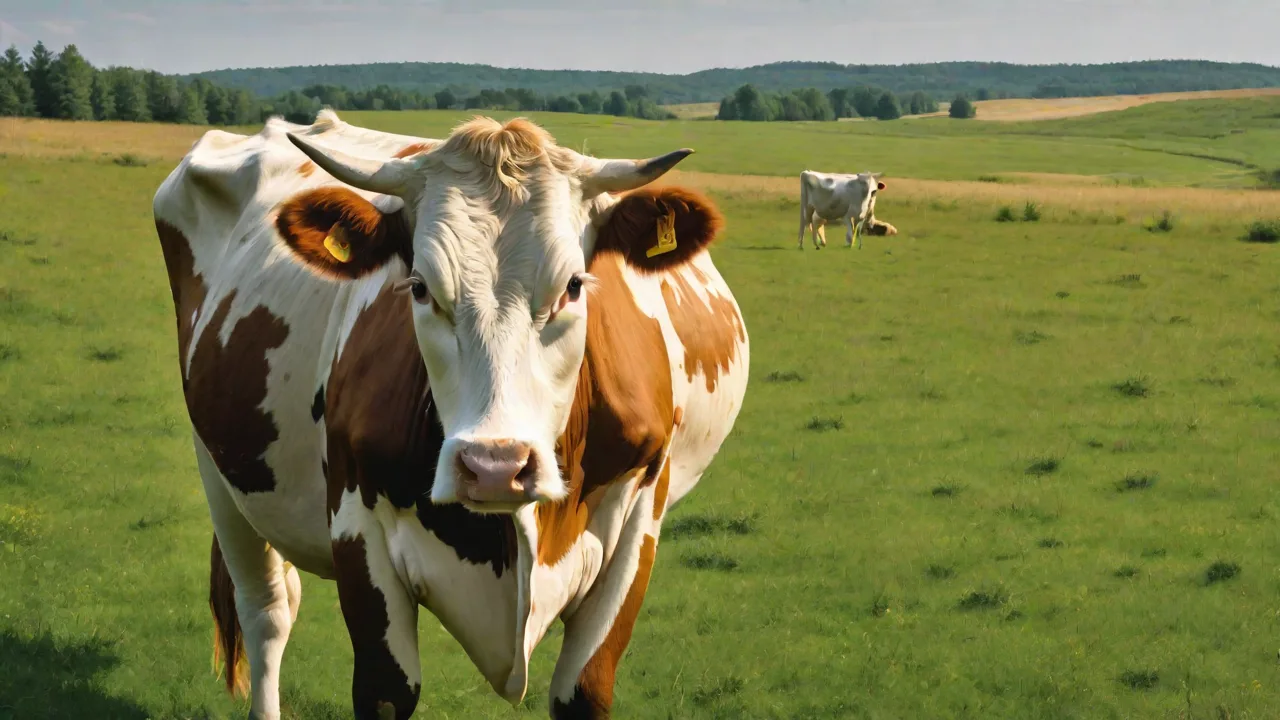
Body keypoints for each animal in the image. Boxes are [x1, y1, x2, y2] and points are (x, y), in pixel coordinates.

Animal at [151, 109, 750, 720]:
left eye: (573, 285)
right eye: (419, 288)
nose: (494, 467)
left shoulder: (637, 524)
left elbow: (584, 689)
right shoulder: (358, 531)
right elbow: (385, 691)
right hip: (219, 474)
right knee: (266, 611)